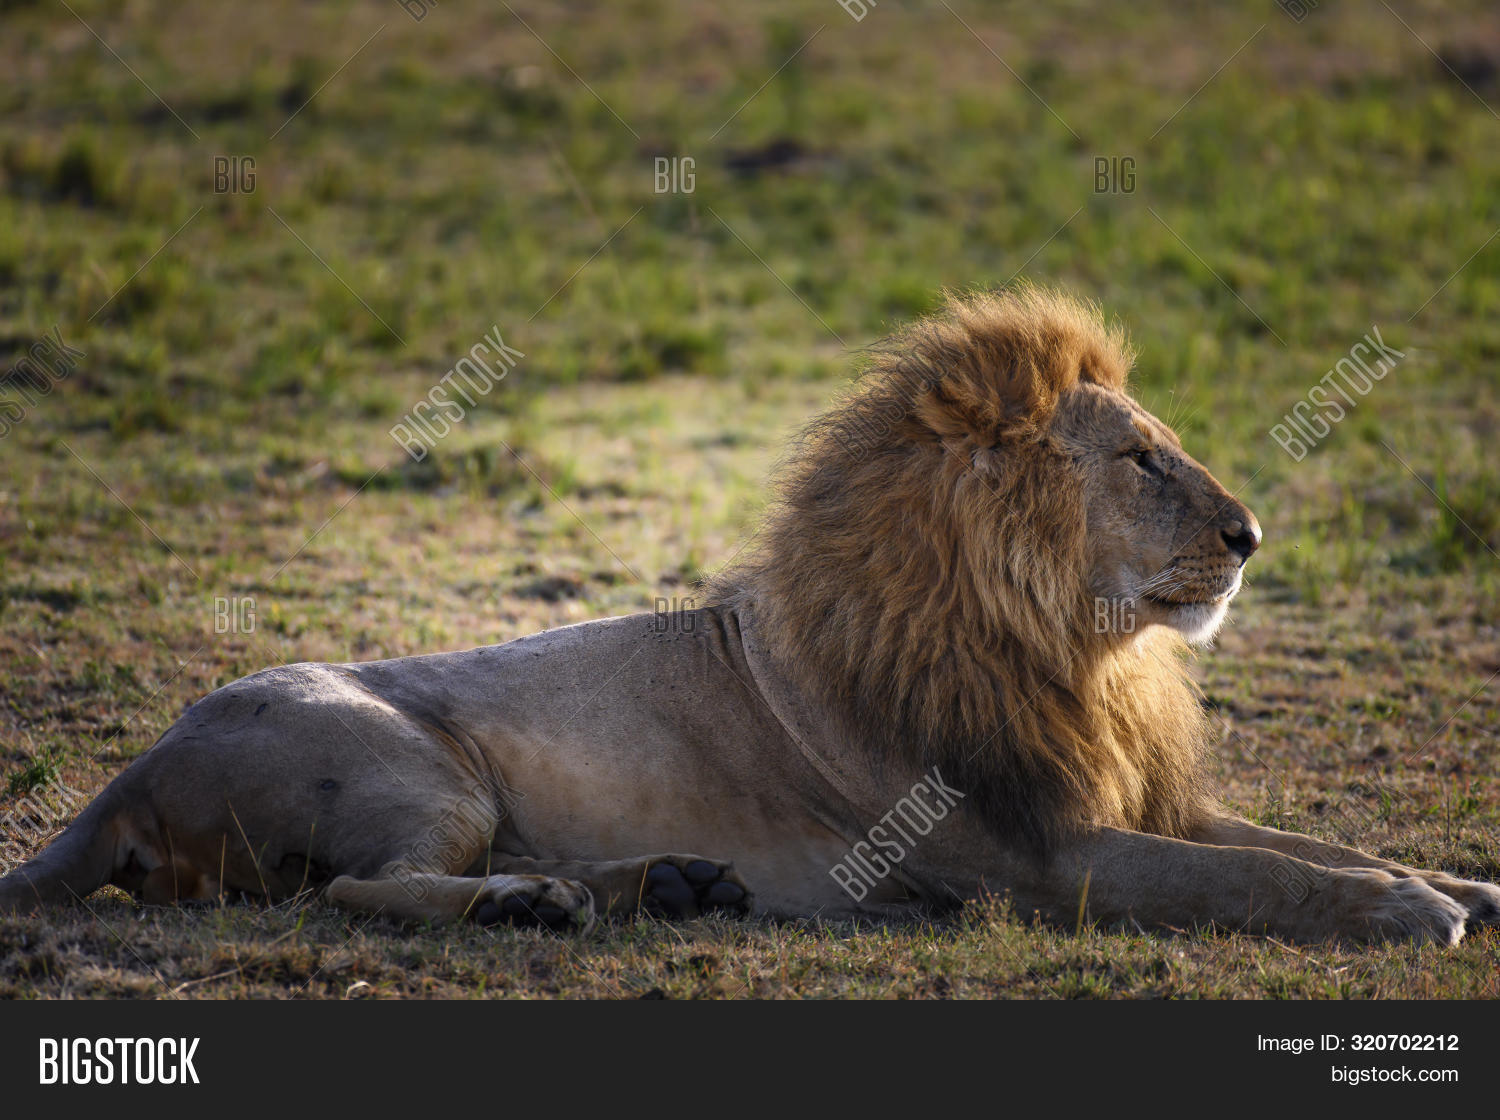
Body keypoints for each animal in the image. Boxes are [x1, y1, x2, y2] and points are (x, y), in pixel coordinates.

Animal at [3, 286, 1497, 945]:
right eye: (1139, 460)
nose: (1252, 536)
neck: (1080, 652)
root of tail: (127, 773)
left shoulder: (1132, 792)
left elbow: (1294, 839)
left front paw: (1462, 880)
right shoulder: (1038, 855)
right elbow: (1252, 877)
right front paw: (1413, 907)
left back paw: (661, 884)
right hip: (417, 765)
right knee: (354, 890)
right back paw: (537, 902)